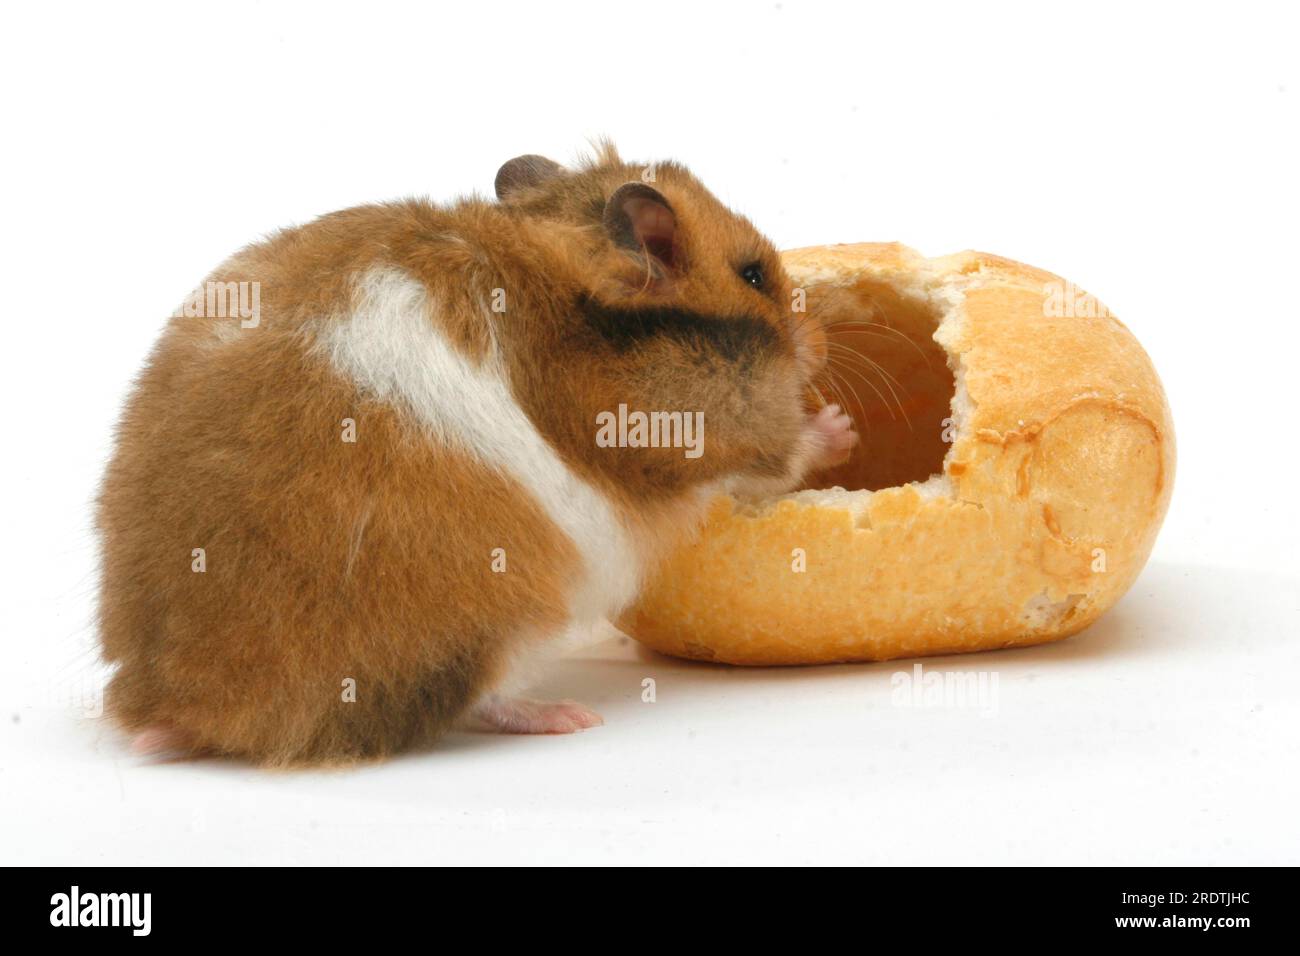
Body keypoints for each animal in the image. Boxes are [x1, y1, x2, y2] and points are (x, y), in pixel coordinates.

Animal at [96, 142, 856, 765]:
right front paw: (840, 425)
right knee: (484, 699)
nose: (820, 344)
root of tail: (176, 701)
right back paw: (569, 717)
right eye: (753, 275)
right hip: (508, 618)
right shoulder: (695, 438)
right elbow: (774, 458)